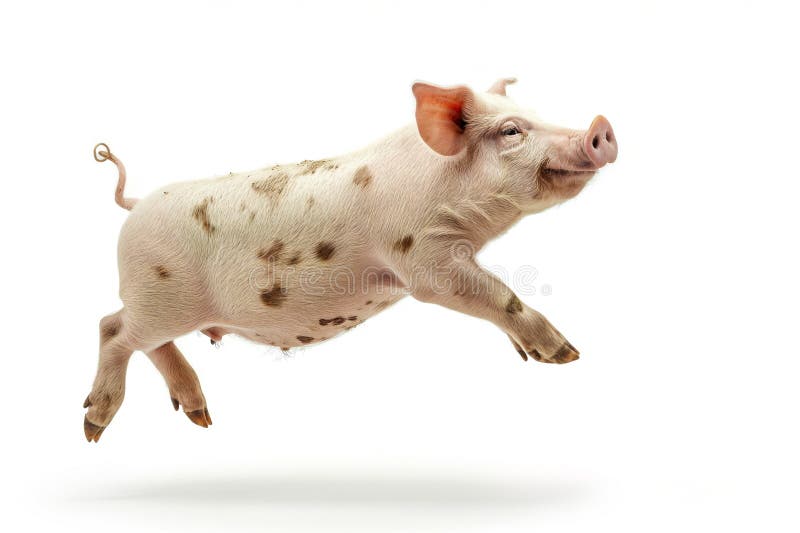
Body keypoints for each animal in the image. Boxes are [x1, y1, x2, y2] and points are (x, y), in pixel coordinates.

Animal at [84, 77, 617, 442]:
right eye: (511, 131)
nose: (601, 126)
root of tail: (136, 206)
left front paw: (536, 355)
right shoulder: (421, 258)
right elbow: (496, 293)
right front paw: (567, 355)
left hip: (164, 305)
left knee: (144, 339)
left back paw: (202, 419)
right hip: (160, 294)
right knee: (112, 328)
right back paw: (93, 425)